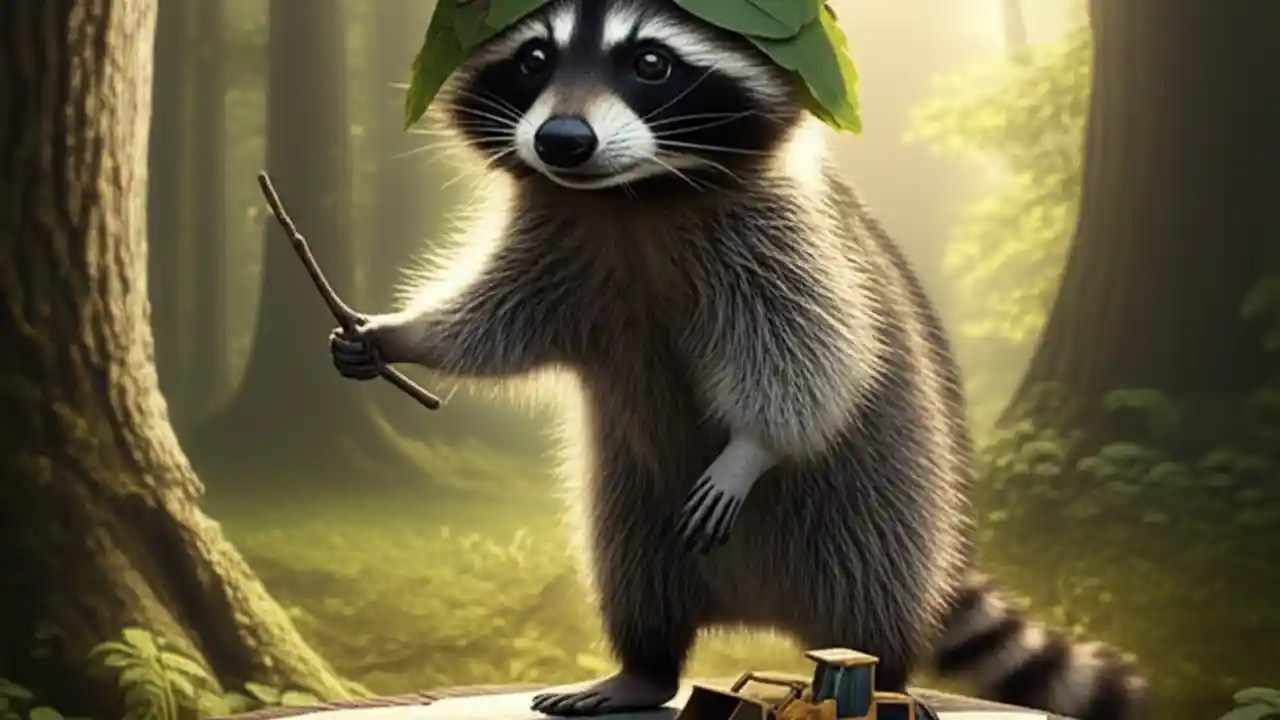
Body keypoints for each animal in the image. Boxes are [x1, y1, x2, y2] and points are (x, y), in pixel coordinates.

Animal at [330, 1, 1148, 718]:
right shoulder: (561, 241)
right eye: (534, 59)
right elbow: (498, 321)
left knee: (874, 587)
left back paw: (885, 672)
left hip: (889, 493)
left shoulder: (779, 231)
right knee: (632, 572)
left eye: (650, 62)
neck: (634, 197)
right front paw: (404, 333)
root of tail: (761, 609)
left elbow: (816, 350)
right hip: (632, 502)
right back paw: (644, 667)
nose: (562, 140)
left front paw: (750, 448)